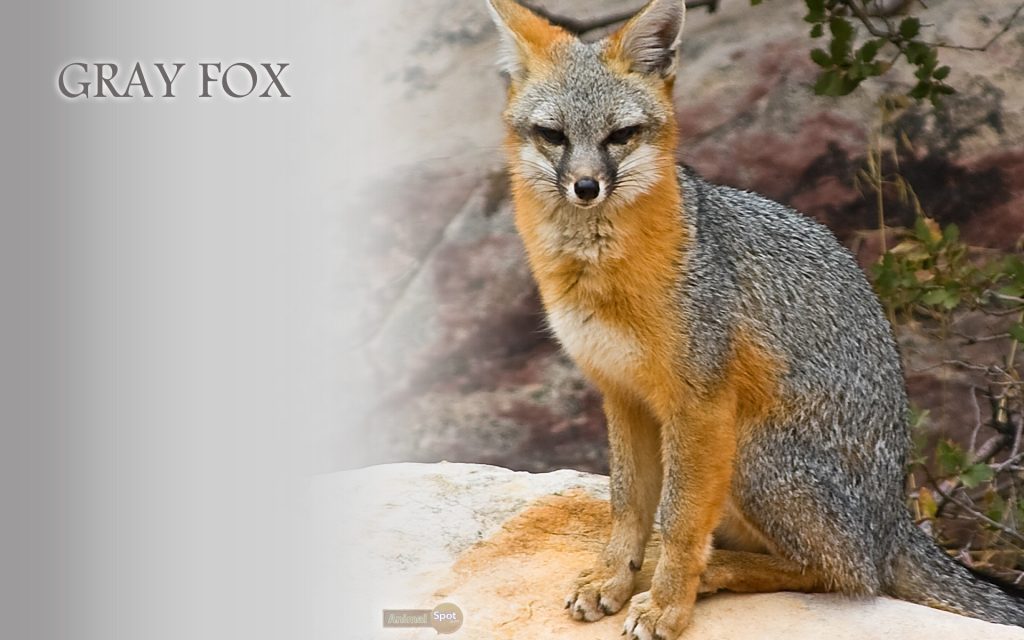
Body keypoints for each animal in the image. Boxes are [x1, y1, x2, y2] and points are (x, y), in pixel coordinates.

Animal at [485, 0, 1024, 638]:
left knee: (848, 576)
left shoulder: (698, 402)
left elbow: (677, 519)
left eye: (620, 136)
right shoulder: (621, 391)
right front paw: (613, 577)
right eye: (554, 136)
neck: (602, 276)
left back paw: (714, 572)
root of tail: (894, 520)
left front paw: (667, 605)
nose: (586, 187)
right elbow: (628, 504)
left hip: (746, 451)